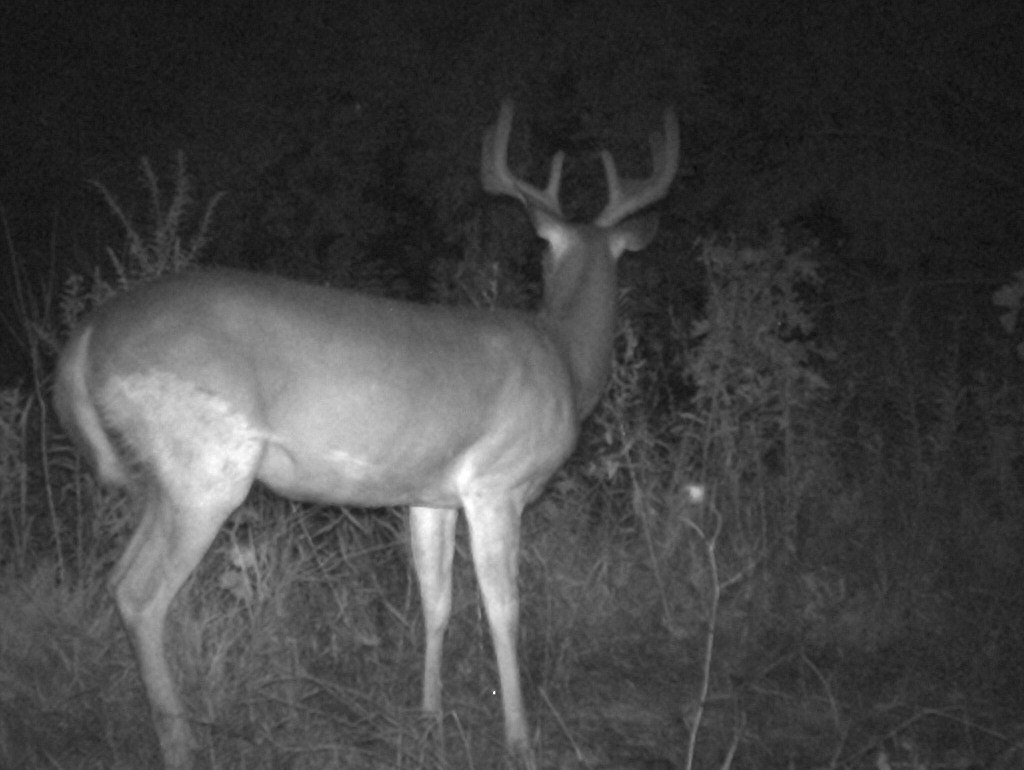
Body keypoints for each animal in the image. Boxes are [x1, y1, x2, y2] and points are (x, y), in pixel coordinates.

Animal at [53, 99, 678, 769]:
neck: (565, 357)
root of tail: (86, 337)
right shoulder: (498, 483)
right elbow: (503, 608)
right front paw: (519, 738)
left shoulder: (432, 496)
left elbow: (436, 601)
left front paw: (428, 719)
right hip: (207, 465)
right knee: (141, 594)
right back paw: (181, 745)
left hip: (163, 477)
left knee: (118, 578)